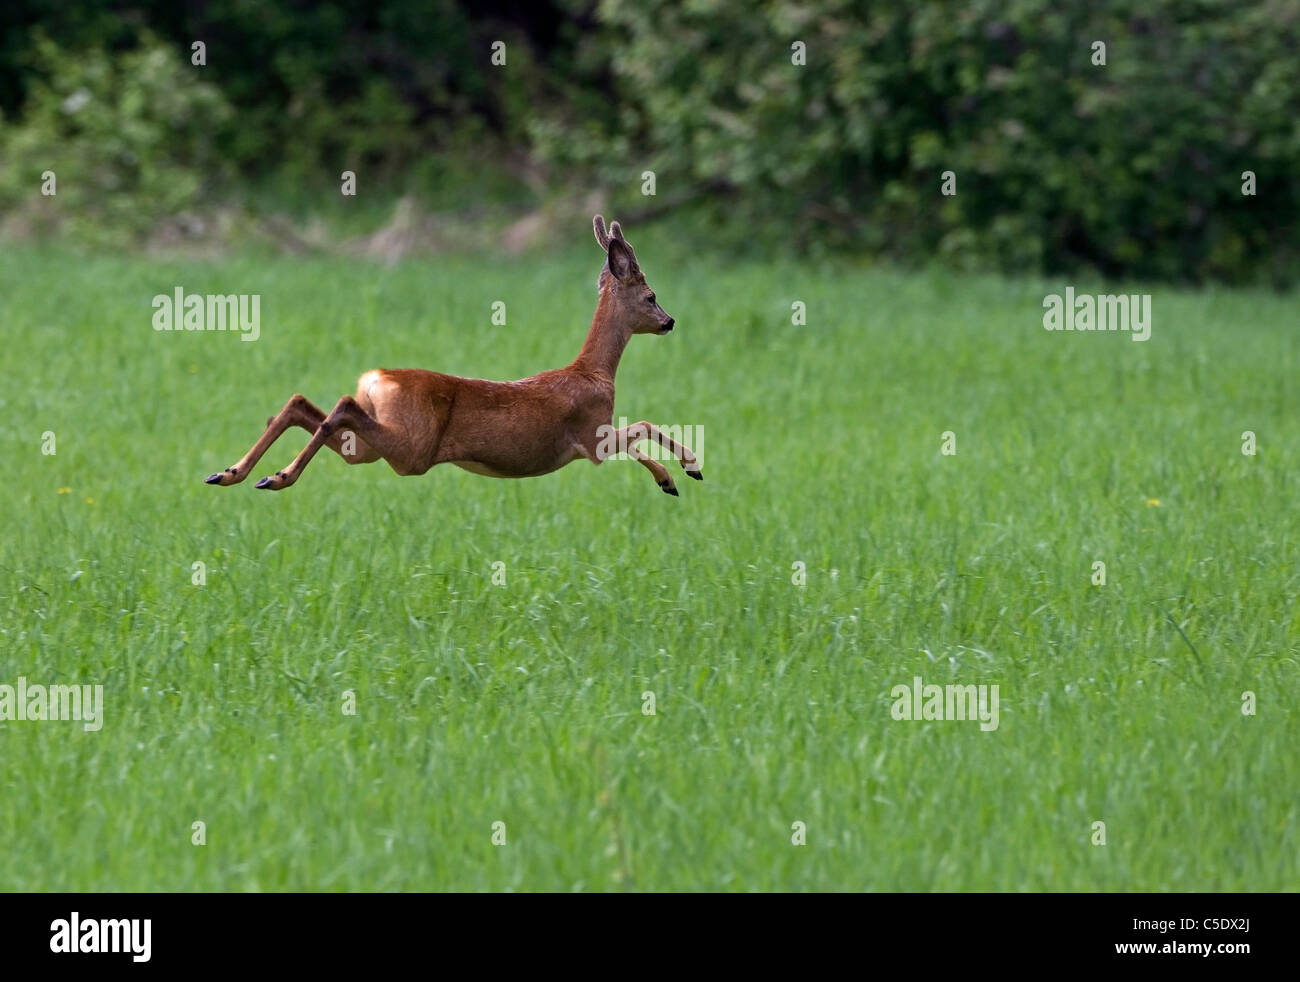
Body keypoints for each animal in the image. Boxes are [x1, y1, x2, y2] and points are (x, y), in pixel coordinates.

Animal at [203, 216, 703, 496]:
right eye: (651, 296)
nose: (671, 321)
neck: (594, 373)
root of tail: (376, 378)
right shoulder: (591, 434)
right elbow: (642, 427)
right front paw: (681, 472)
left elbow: (640, 433)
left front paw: (675, 476)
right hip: (412, 450)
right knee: (339, 407)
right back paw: (274, 477)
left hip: (367, 450)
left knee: (301, 405)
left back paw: (233, 473)